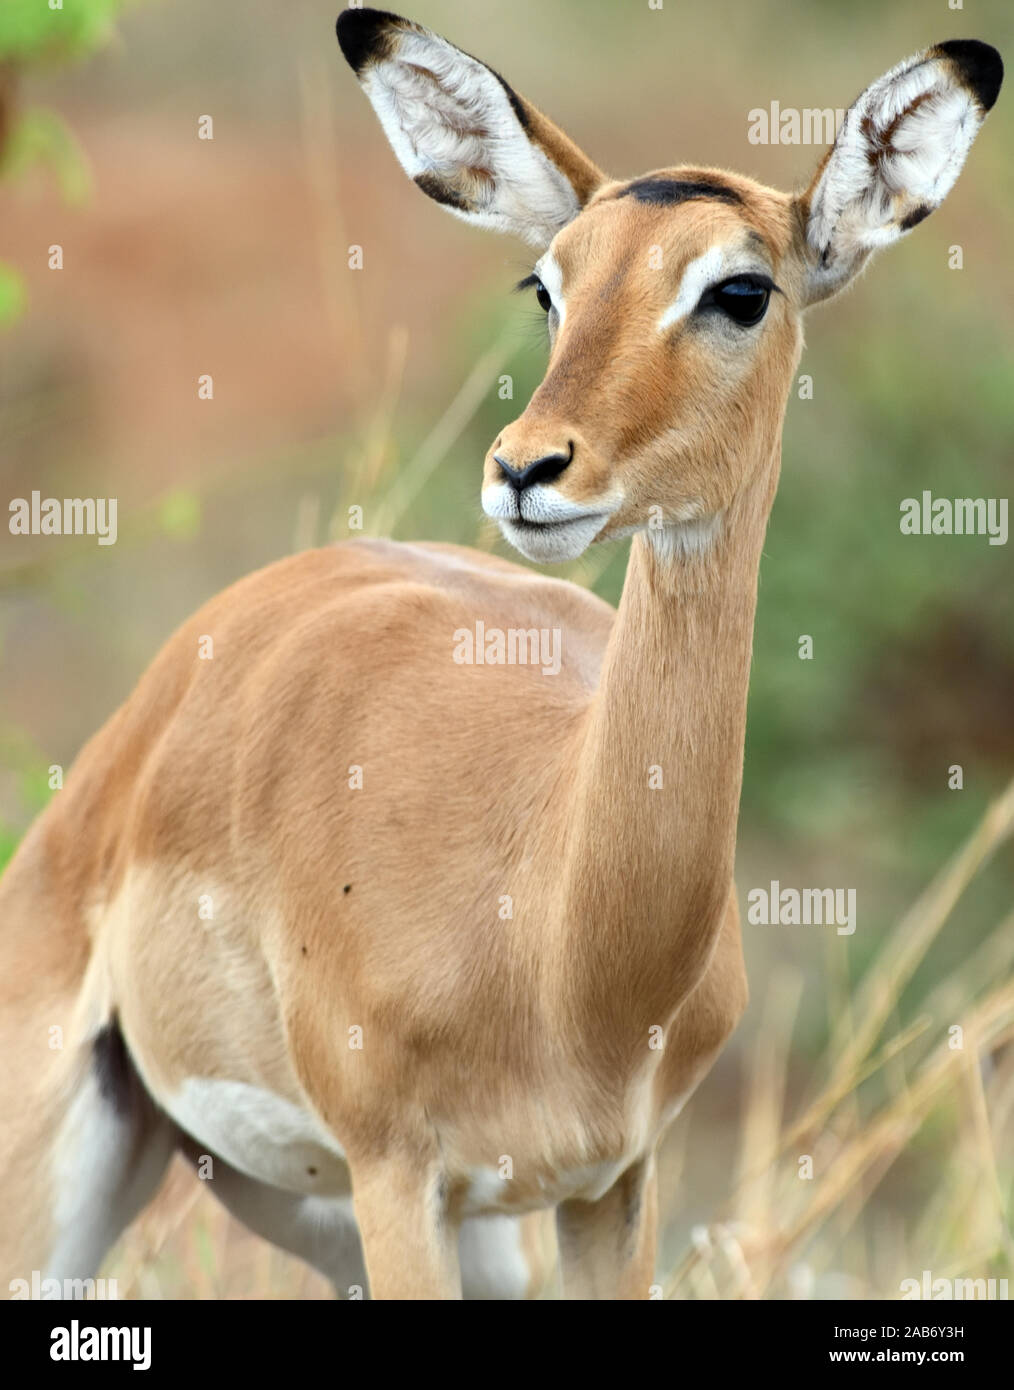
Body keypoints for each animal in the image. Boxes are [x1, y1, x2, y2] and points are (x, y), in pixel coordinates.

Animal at [0, 8, 1002, 1301]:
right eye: (547, 282)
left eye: (740, 289)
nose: (529, 468)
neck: (555, 943)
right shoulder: (399, 1177)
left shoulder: (612, 1183)